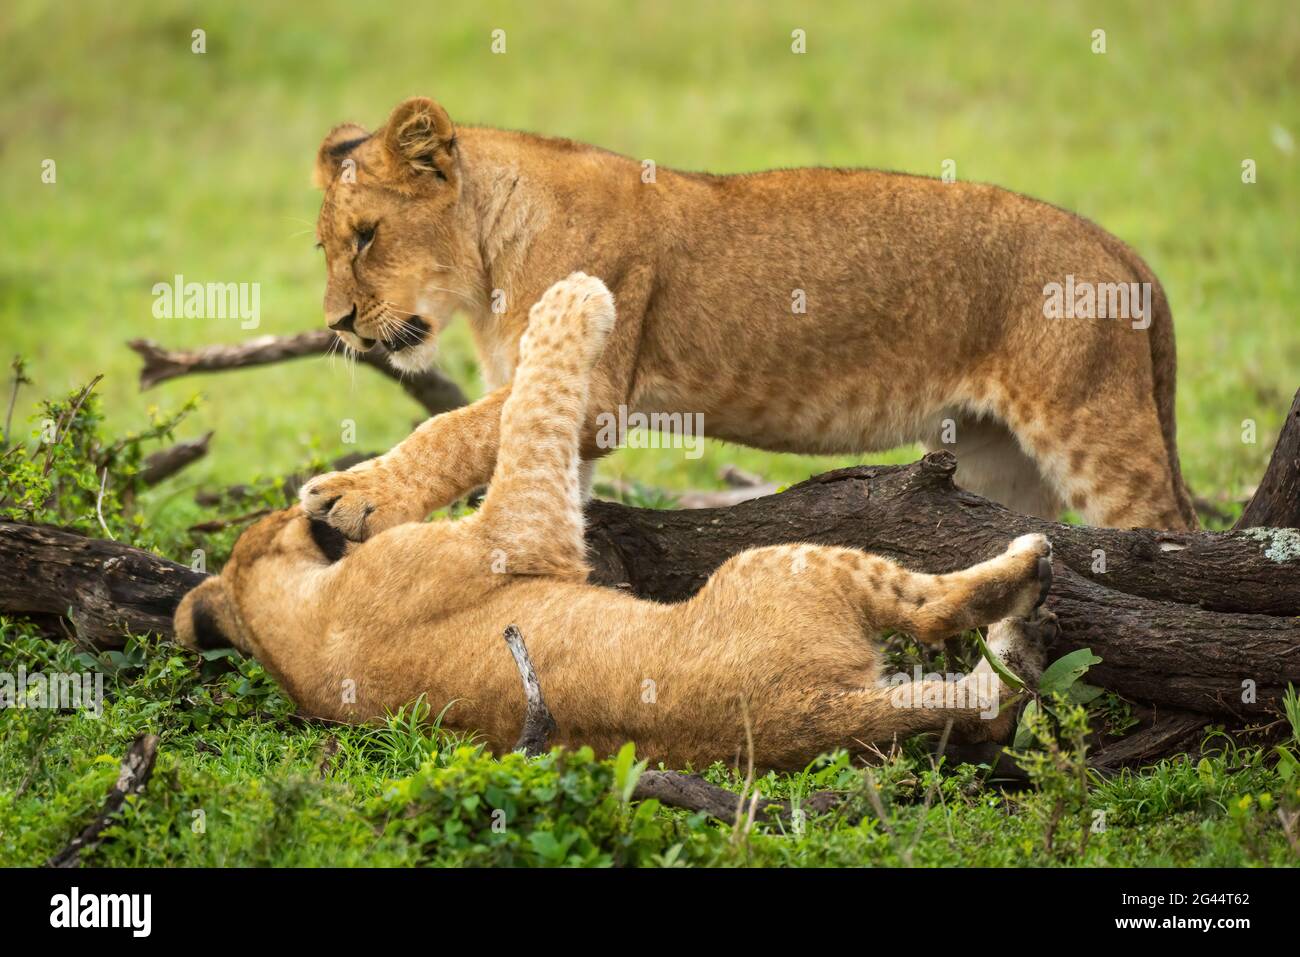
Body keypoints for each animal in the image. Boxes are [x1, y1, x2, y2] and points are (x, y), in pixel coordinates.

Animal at [176, 276, 1055, 770]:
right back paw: (1028, 572)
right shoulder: (513, 535)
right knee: (937, 613)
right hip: (786, 567)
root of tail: (804, 712)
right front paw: (576, 296)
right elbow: (532, 413)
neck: (292, 637)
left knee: (977, 702)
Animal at [299, 96, 1196, 540]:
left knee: (1171, 529)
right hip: (996, 457)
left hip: (1092, 428)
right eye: (325, 245)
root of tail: (1123, 250)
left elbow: (445, 430)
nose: (338, 323)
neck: (486, 262)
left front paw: (354, 494)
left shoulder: (596, 394)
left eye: (368, 235)